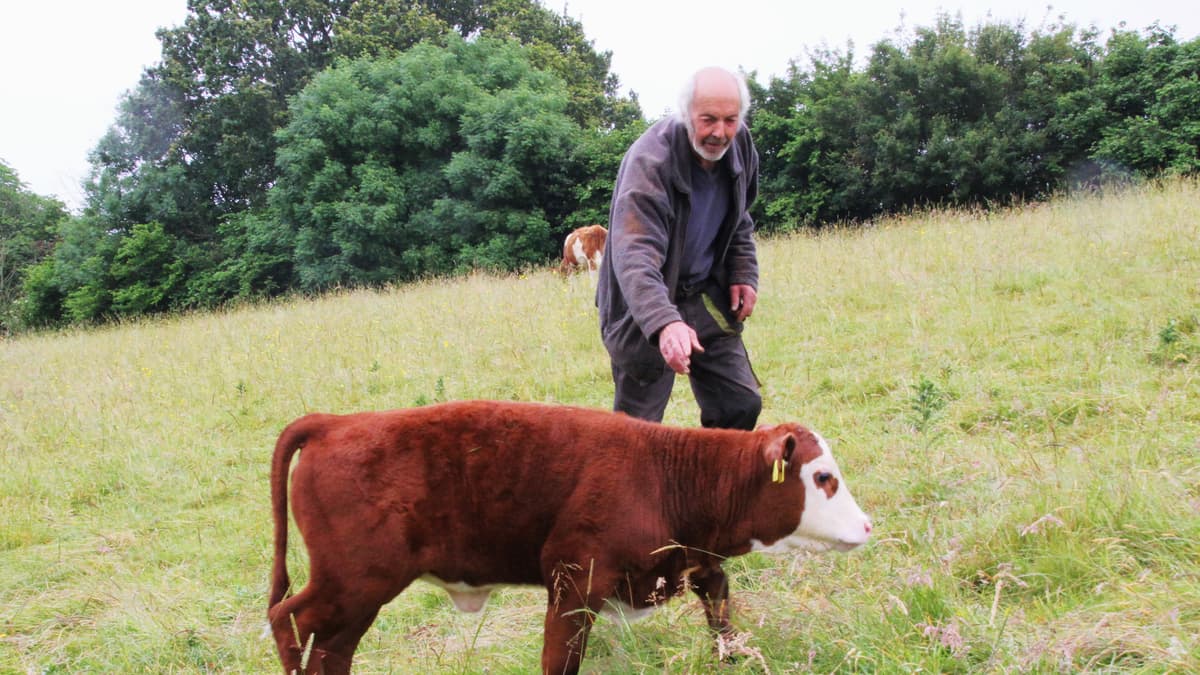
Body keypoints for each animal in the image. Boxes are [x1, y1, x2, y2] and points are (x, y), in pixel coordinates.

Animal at [268, 400, 871, 675]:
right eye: (823, 477)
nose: (866, 525)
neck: (662, 475)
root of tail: (336, 422)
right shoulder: (574, 579)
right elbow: (559, 659)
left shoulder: (696, 564)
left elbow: (723, 624)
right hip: (355, 579)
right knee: (290, 618)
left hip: (356, 591)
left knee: (330, 647)